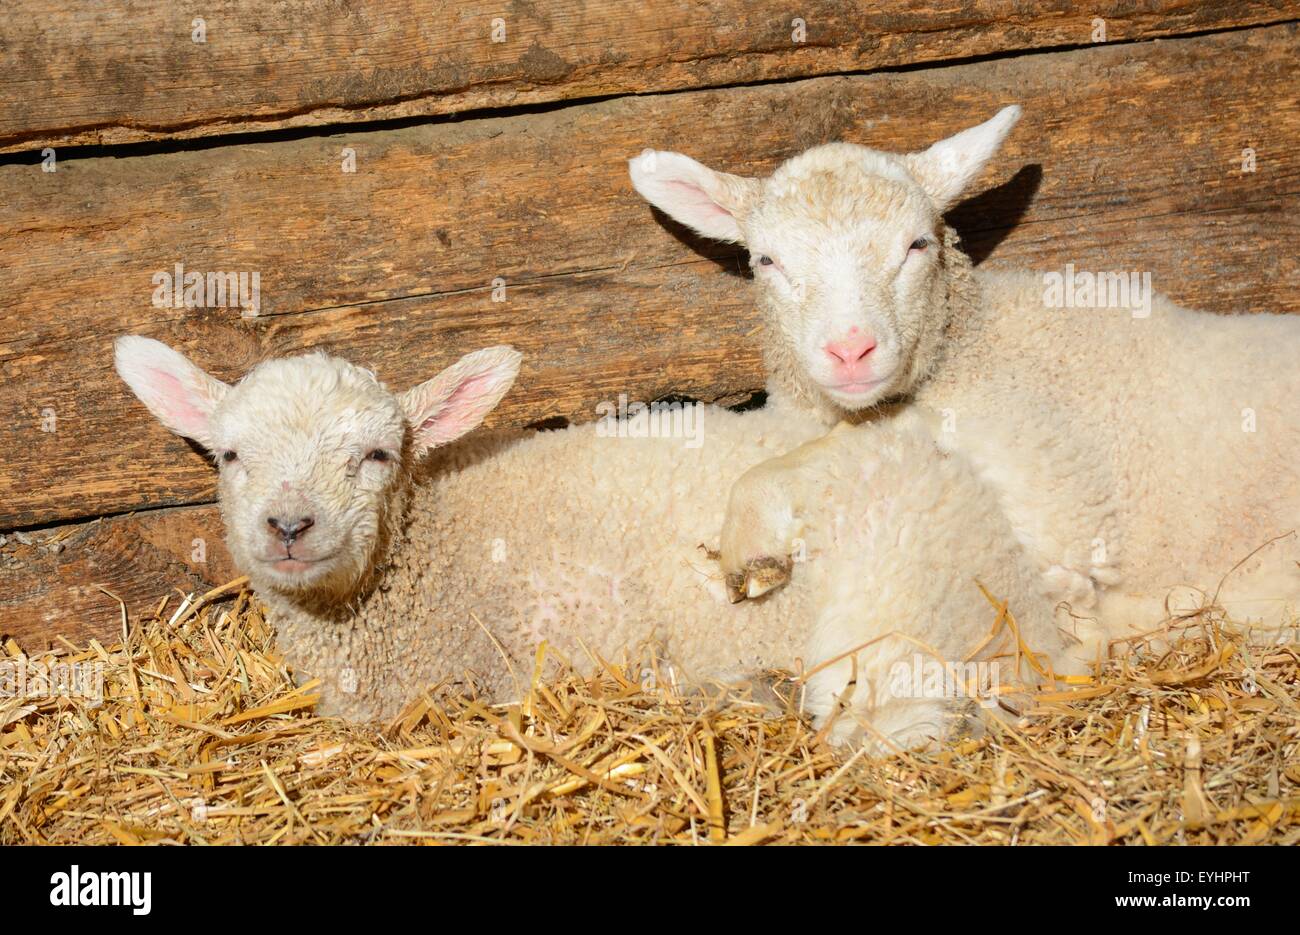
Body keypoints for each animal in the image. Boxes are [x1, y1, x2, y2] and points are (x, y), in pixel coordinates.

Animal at [629, 106, 1300, 646]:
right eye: (767, 260)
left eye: (917, 245)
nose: (851, 350)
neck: (973, 346)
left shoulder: (1056, 503)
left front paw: (746, 543)